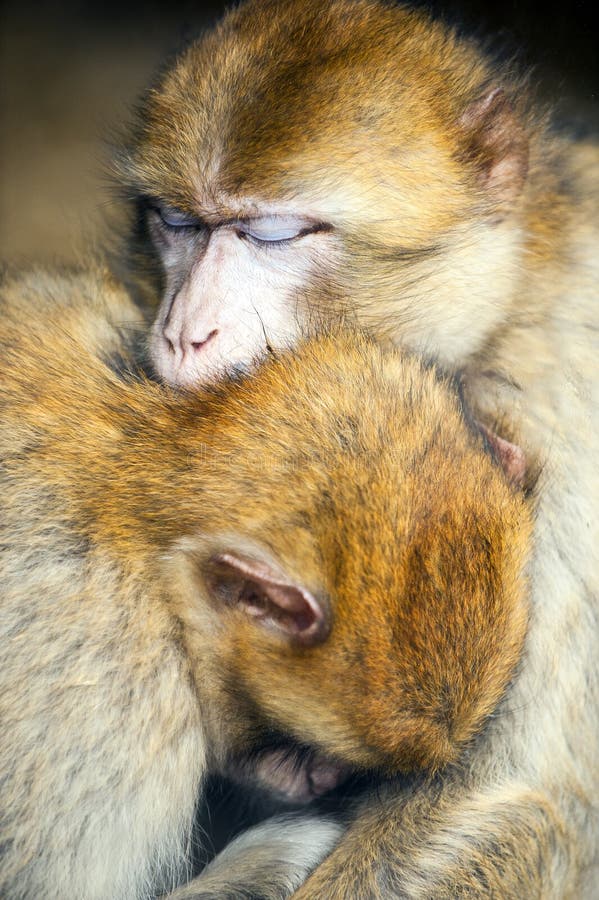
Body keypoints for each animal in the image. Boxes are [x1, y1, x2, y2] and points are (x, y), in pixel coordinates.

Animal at [115, 0, 599, 895]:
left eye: (272, 233)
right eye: (177, 223)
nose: (183, 332)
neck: (509, 297)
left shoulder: (554, 414)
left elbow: (504, 794)